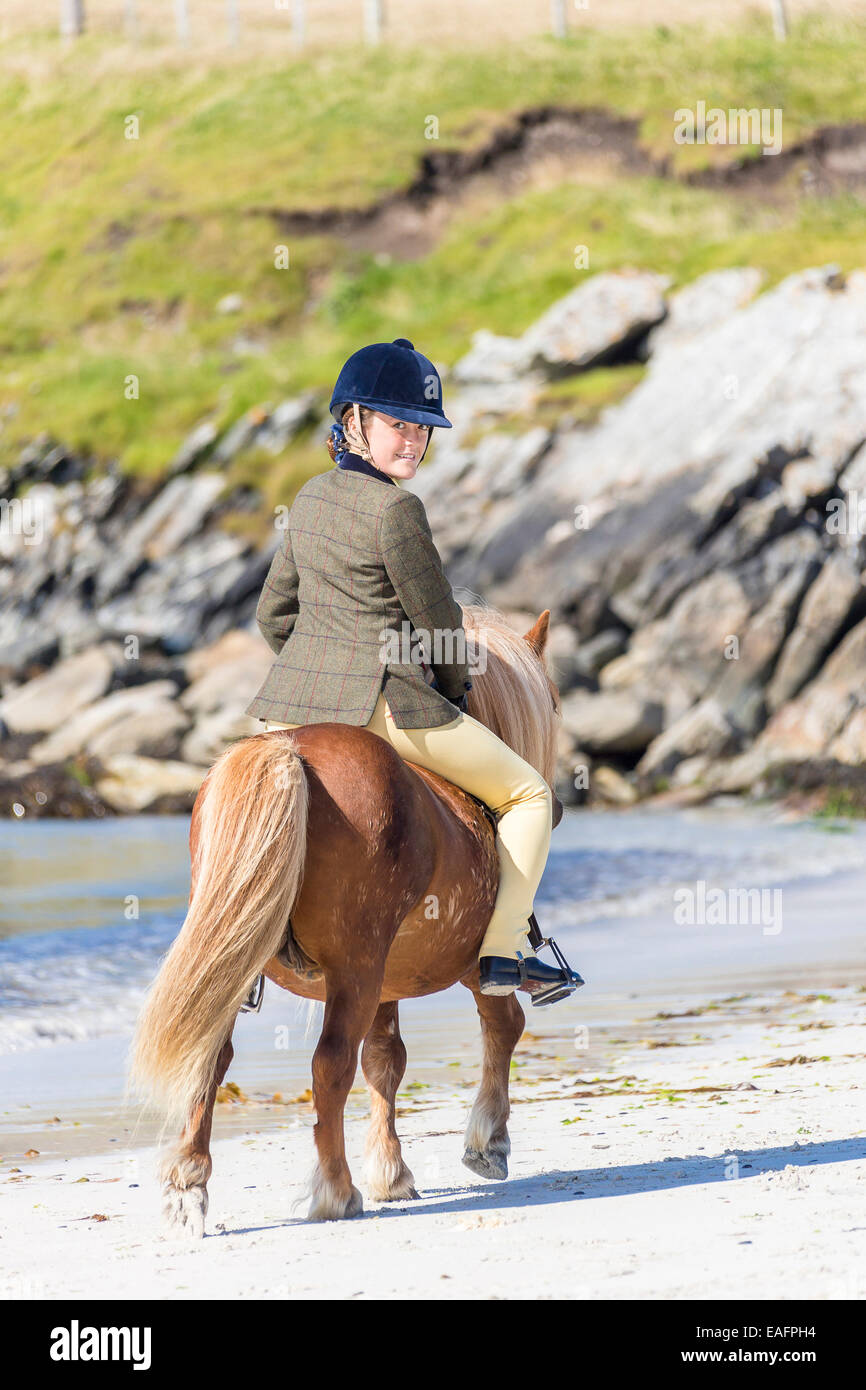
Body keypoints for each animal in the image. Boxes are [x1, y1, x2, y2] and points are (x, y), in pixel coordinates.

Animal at [128, 604, 564, 1233]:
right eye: (553, 704)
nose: (558, 805)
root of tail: (292, 750)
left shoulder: (386, 980)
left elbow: (385, 1060)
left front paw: (392, 1170)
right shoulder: (473, 963)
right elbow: (503, 1026)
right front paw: (488, 1142)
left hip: (237, 961)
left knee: (212, 1057)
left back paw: (189, 1186)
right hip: (354, 969)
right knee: (329, 1064)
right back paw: (335, 1190)